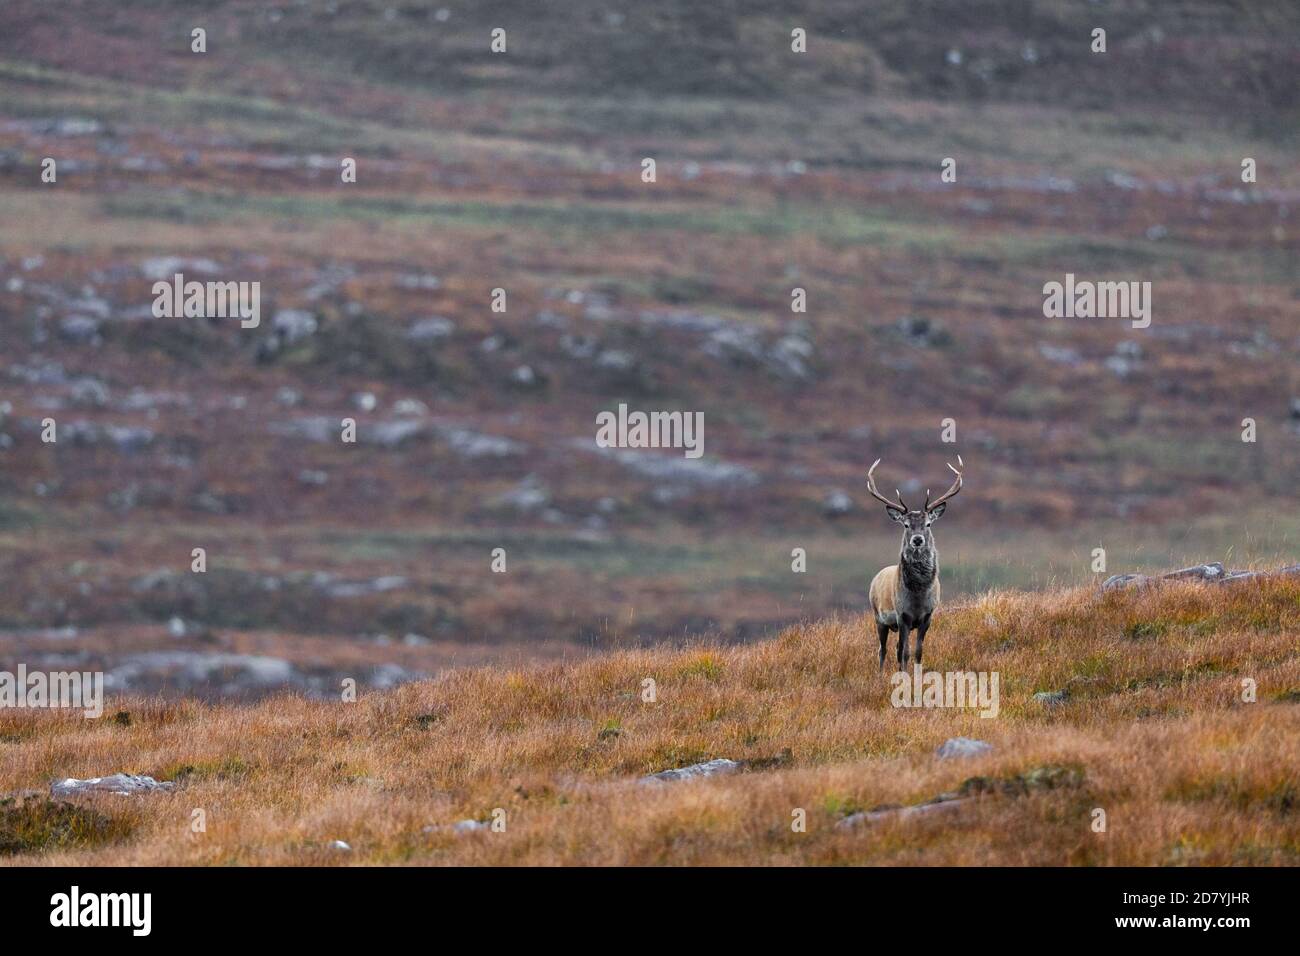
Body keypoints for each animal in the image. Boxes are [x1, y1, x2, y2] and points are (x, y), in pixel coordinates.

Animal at [865, 455, 963, 672]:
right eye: (906, 525)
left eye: (928, 523)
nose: (917, 539)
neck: (917, 596)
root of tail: (876, 577)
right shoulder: (902, 615)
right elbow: (905, 653)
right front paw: (904, 675)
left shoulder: (927, 616)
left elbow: (917, 652)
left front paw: (917, 675)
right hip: (878, 617)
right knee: (883, 649)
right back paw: (880, 674)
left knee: (894, 648)